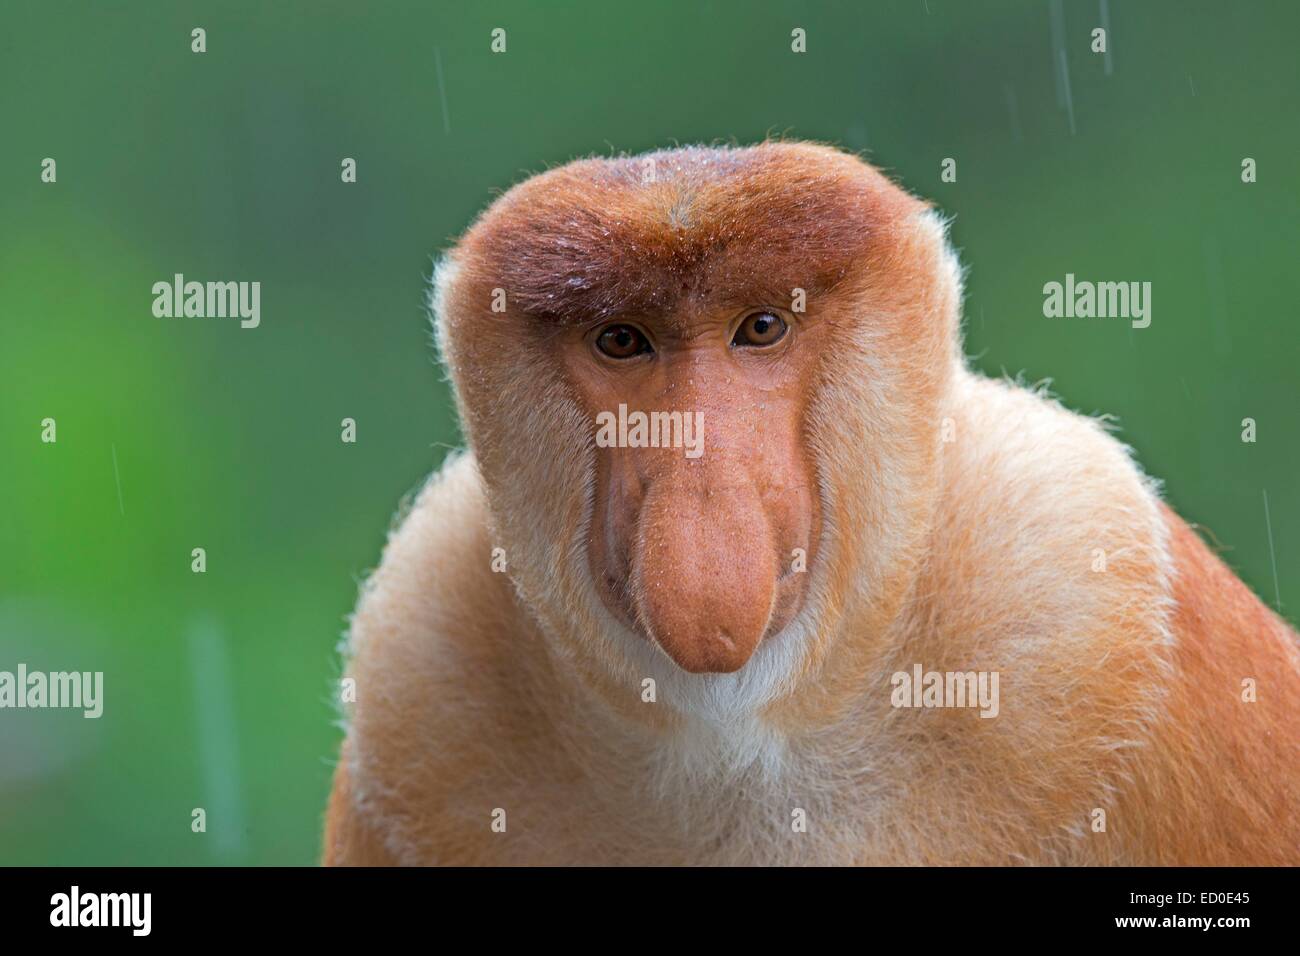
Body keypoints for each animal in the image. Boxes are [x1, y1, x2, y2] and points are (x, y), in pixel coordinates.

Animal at [323, 141, 1300, 866]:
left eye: (761, 327)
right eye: (622, 341)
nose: (701, 487)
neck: (744, 745)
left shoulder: (1087, 591)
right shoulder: (415, 673)